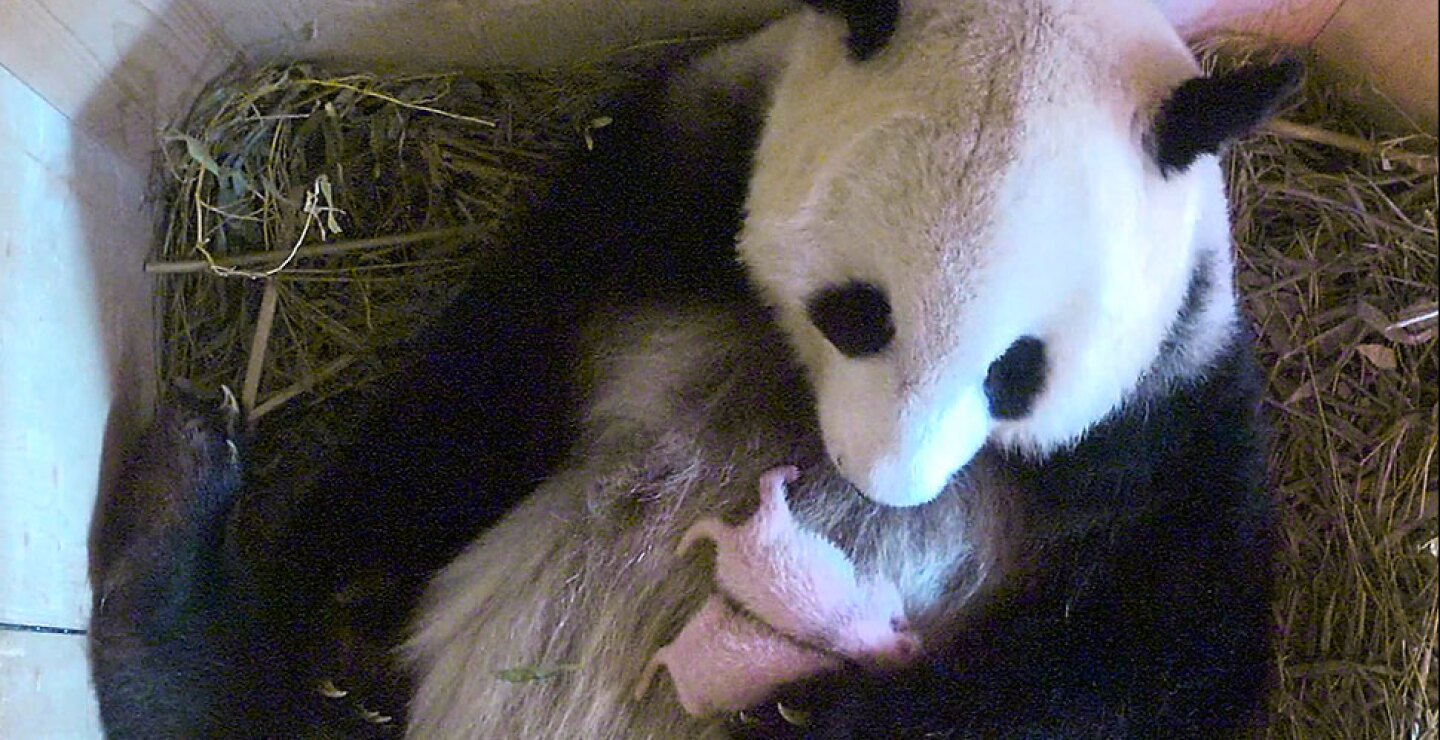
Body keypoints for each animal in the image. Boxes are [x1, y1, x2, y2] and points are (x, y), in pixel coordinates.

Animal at [88, 0, 1301, 737]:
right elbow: (484, 383)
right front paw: (345, 597)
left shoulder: (1171, 433)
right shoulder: (675, 174)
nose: (883, 485)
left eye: (1018, 370)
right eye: (858, 314)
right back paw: (181, 525)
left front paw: (807, 713)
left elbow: (1149, 658)